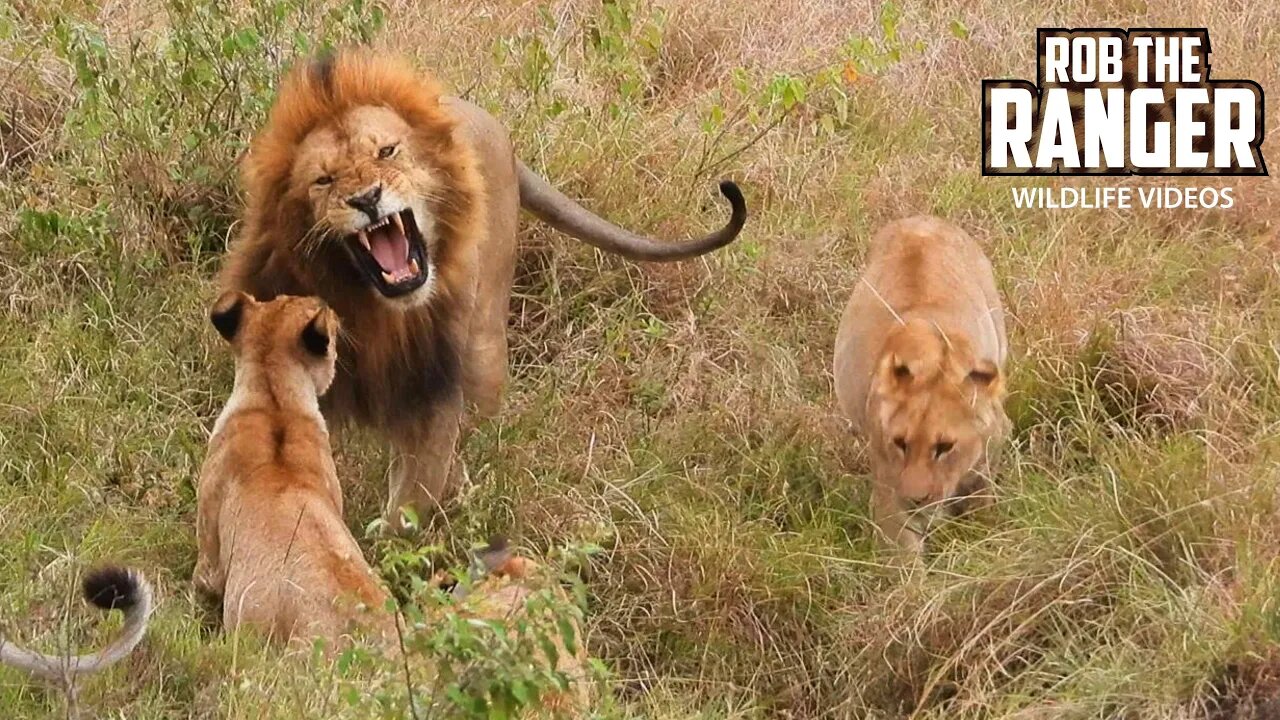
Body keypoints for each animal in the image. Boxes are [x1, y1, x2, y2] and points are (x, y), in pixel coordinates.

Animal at [220, 50, 747, 531]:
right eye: (324, 180)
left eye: (387, 151)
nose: (367, 199)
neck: (374, 309)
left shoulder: (433, 387)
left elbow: (412, 498)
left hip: (485, 346)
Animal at [833, 216, 1010, 553]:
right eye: (900, 443)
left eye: (944, 447)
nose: (916, 500)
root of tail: (920, 218)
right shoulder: (888, 489)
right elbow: (904, 556)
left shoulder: (988, 457)